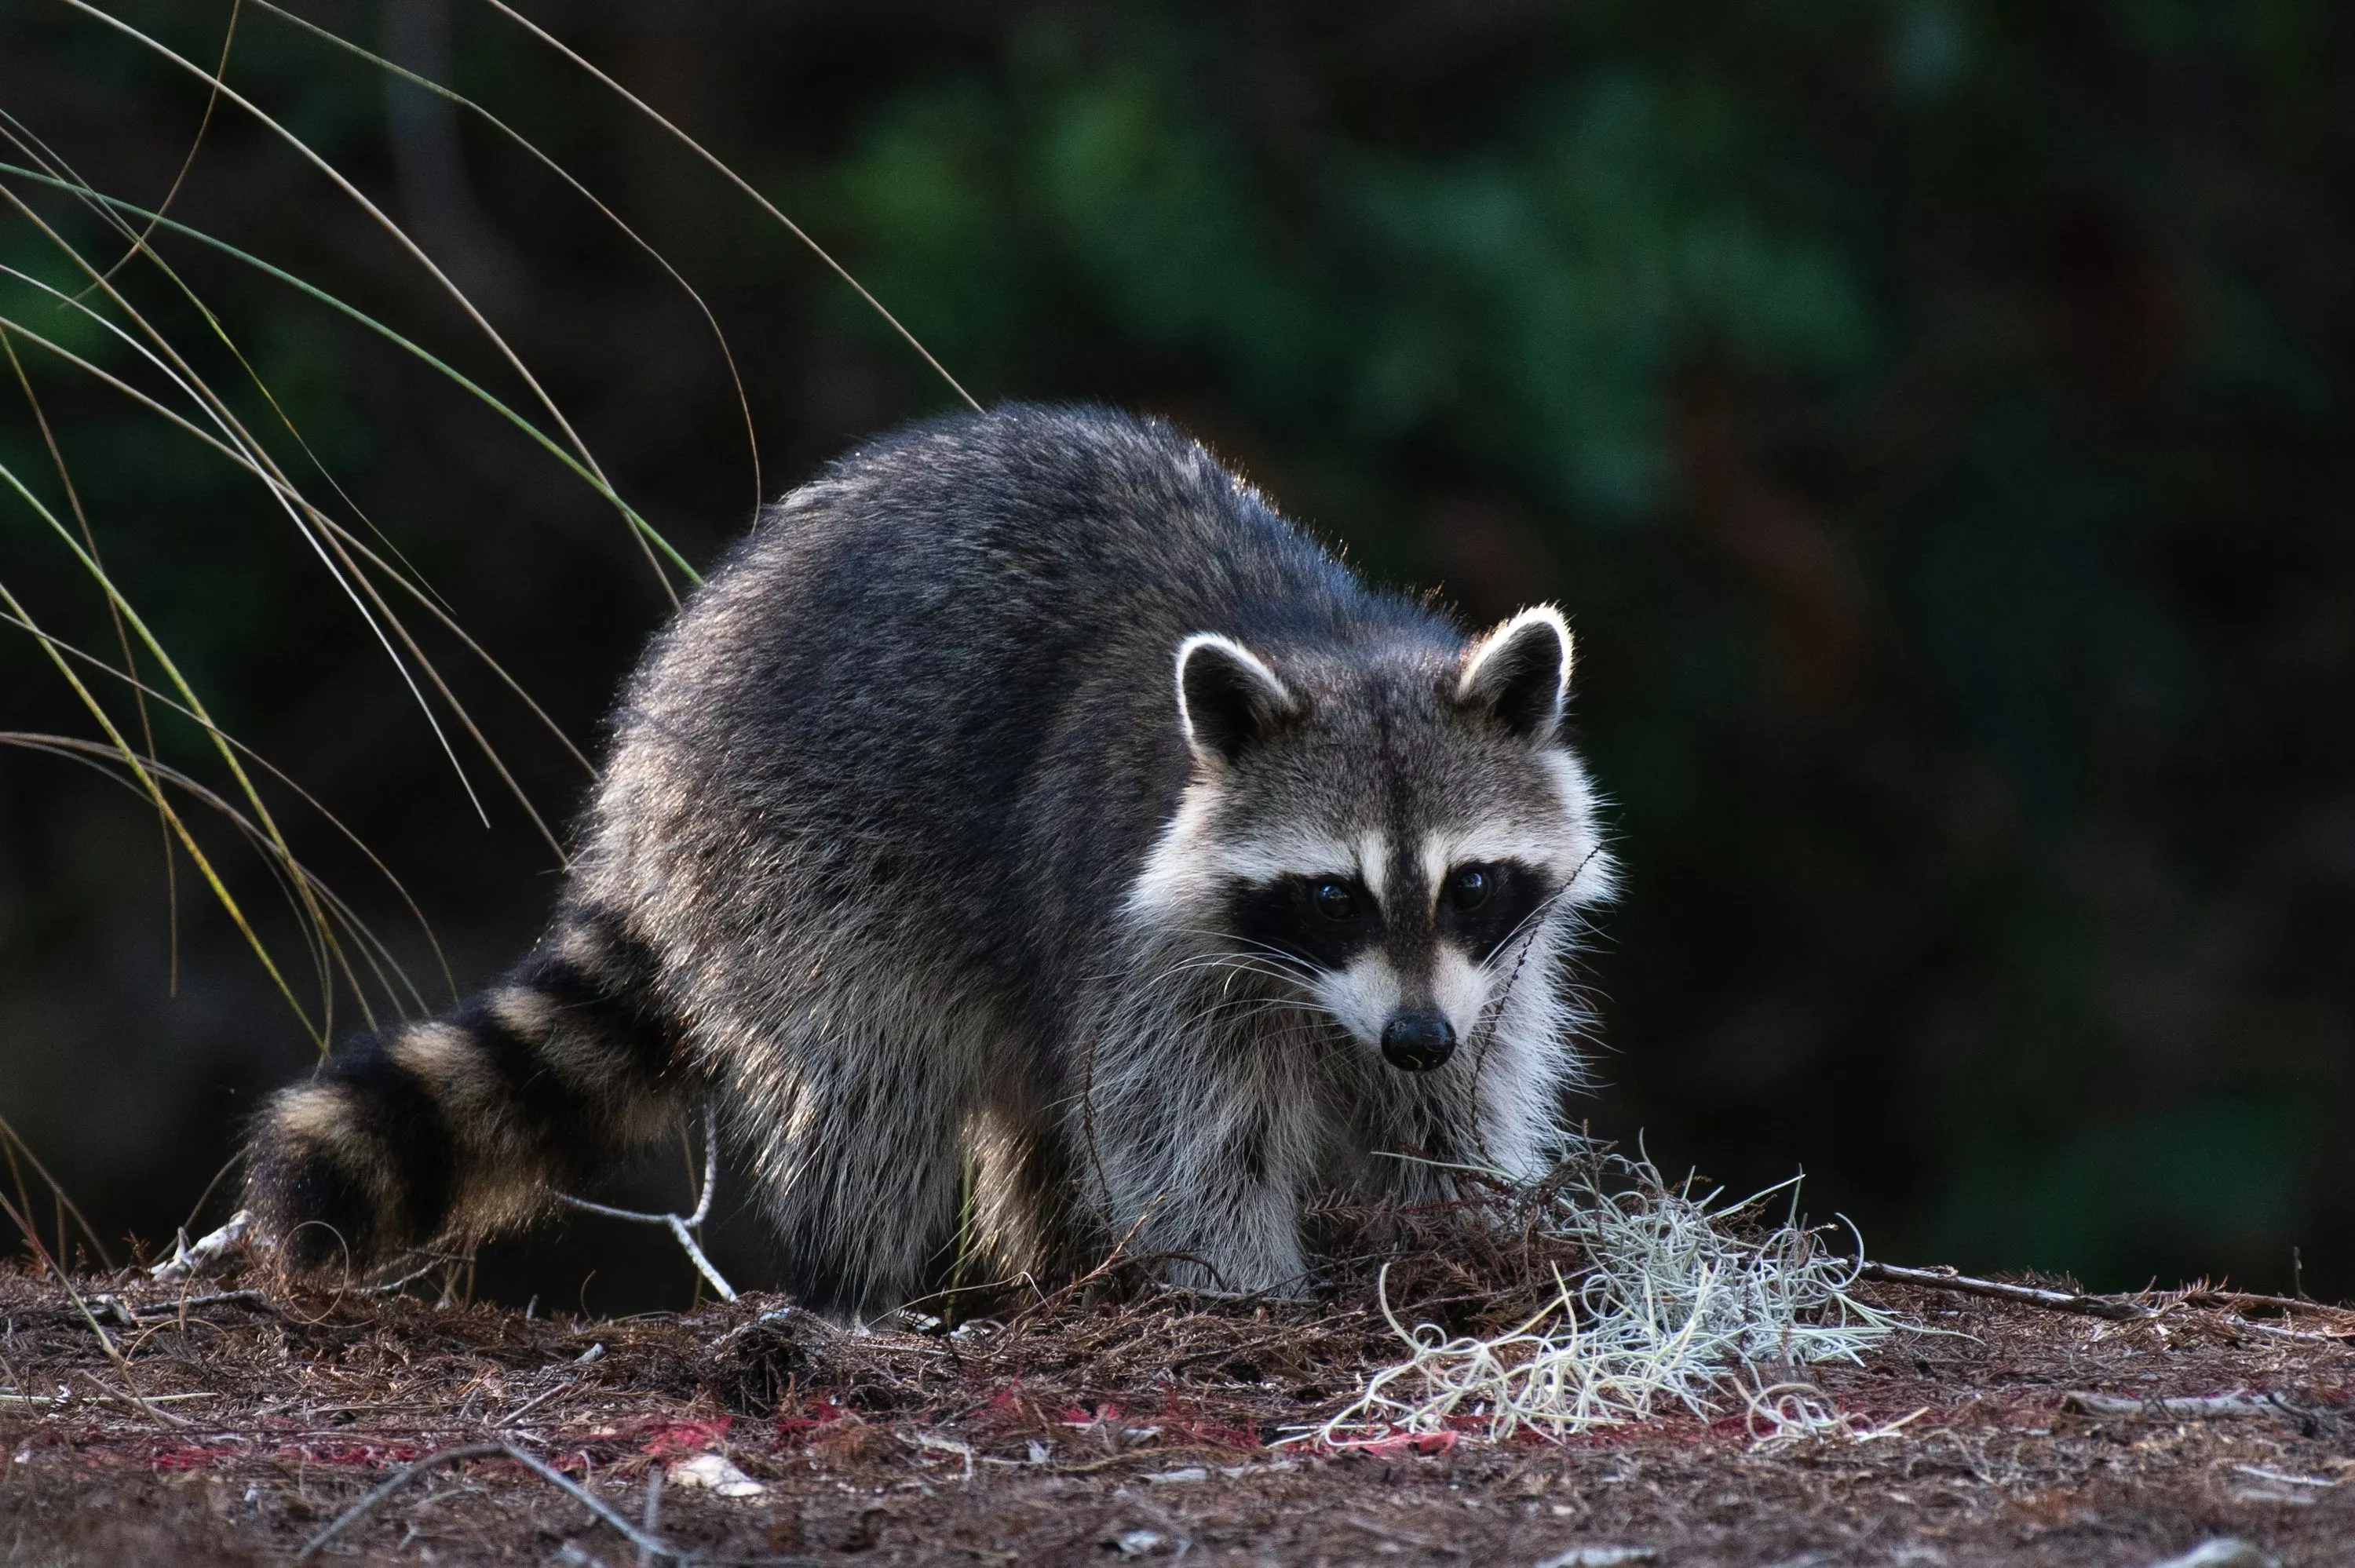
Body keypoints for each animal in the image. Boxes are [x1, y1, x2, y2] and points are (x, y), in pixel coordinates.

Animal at [246, 404, 1614, 1314]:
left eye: (1470, 881)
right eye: (1332, 894)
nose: (1413, 1036)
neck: (1329, 641)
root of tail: (655, 730)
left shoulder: (1479, 971)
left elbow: (1454, 1100)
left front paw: (1466, 1226)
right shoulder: (1143, 930)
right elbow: (1182, 1130)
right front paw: (1240, 1287)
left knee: (1033, 1099)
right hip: (798, 856)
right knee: (873, 1080)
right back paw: (858, 1287)